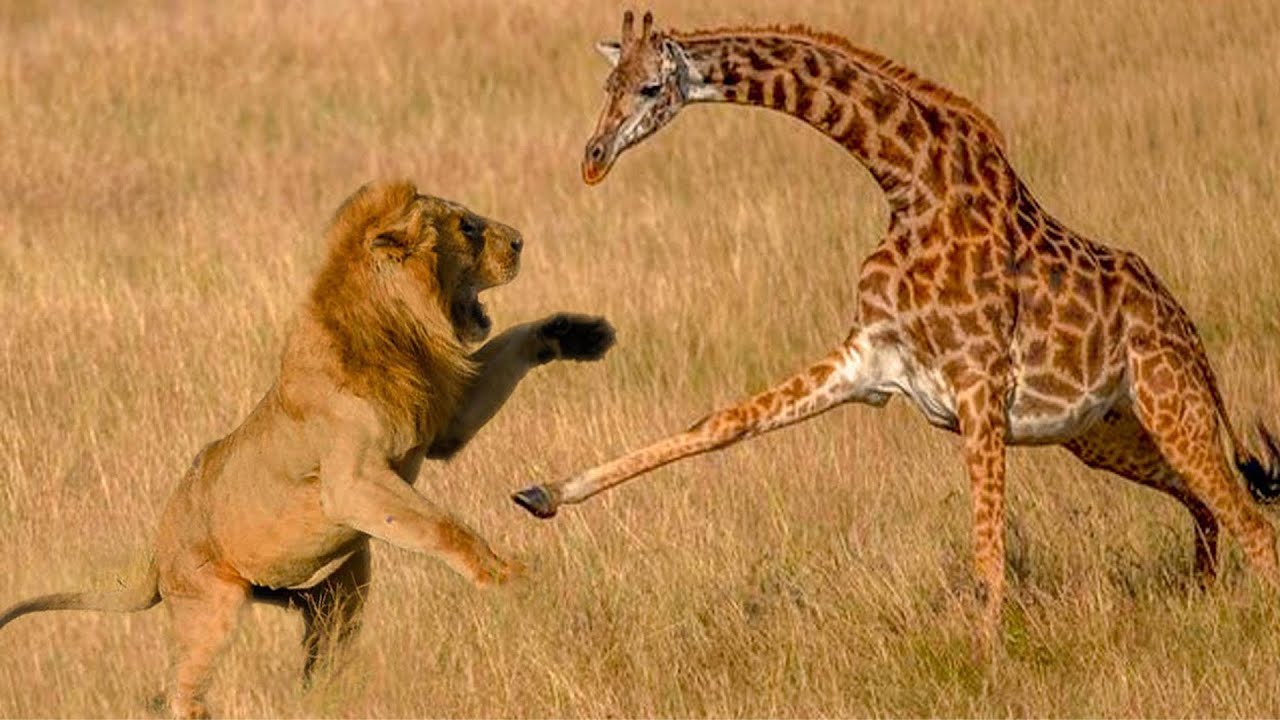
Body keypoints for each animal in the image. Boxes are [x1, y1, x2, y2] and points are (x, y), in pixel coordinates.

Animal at [0, 179, 615, 718]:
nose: (520, 241)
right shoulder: (353, 481)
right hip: (212, 604)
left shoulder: (445, 425)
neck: (400, 329)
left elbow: (513, 342)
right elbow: (444, 527)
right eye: (467, 227)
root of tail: (157, 547)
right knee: (178, 688)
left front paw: (580, 333)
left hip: (340, 591)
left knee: (318, 667)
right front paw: (506, 577)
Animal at [512, 11, 1280, 641]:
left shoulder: (978, 385)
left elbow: (988, 553)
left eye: (649, 88)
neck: (908, 181)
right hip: (1105, 430)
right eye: (608, 82)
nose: (593, 159)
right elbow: (725, 422)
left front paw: (985, 661)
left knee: (1253, 522)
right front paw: (545, 493)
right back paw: (1203, 591)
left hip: (1167, 400)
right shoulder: (872, 359)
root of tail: (1186, 327)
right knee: (1213, 506)